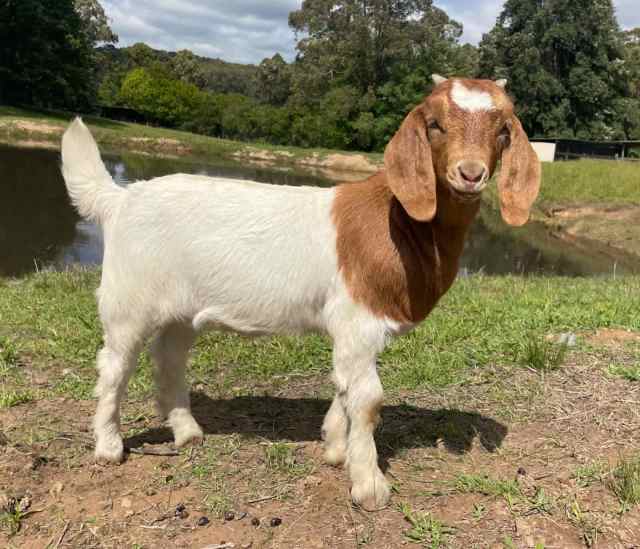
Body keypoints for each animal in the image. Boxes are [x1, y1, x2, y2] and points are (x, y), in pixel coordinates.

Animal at [60, 75, 540, 511]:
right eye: (436, 124)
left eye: (503, 131)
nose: (470, 174)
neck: (398, 222)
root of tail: (120, 199)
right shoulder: (357, 320)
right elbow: (367, 399)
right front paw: (369, 486)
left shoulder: (351, 331)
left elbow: (344, 388)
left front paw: (335, 447)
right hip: (129, 298)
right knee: (115, 366)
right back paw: (109, 446)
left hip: (180, 310)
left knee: (169, 359)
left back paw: (188, 431)